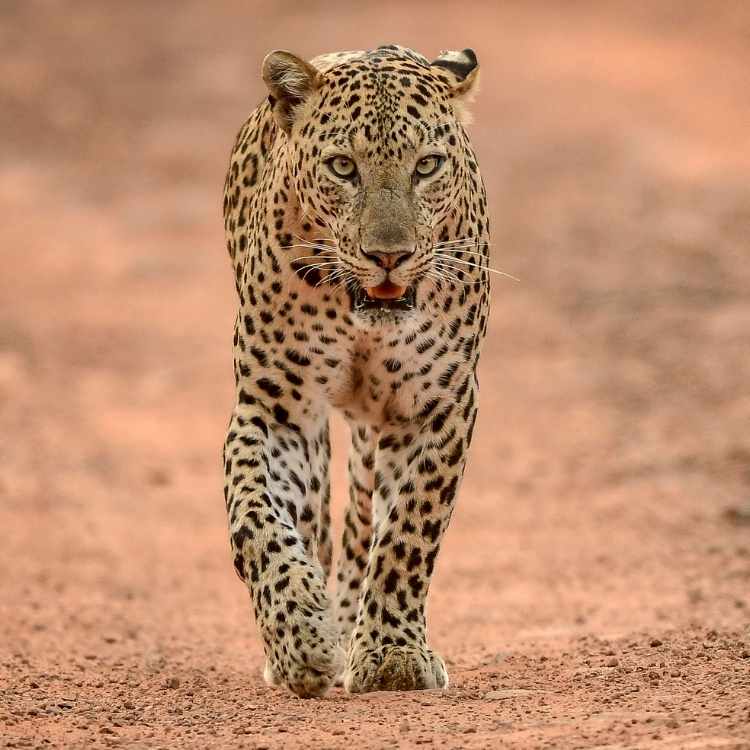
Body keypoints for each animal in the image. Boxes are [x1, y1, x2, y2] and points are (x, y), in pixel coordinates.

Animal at [222, 43, 490, 697]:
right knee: (316, 519)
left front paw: (393, 653)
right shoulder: (277, 410)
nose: (388, 256)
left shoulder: (436, 406)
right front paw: (301, 639)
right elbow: (257, 521)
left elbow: (409, 531)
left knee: (365, 519)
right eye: (344, 167)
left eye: (427, 166)